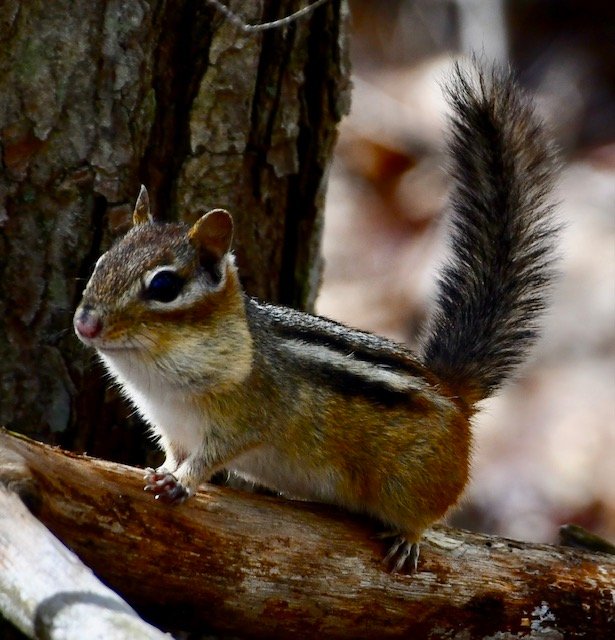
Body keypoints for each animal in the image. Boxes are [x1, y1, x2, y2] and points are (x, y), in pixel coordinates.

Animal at [73, 63, 558, 573]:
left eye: (164, 287)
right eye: (102, 261)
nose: (85, 324)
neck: (161, 379)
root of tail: (452, 392)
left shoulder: (251, 413)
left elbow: (213, 457)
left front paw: (182, 482)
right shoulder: (171, 427)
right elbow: (174, 453)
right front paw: (162, 471)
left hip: (409, 483)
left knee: (428, 513)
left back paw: (408, 538)